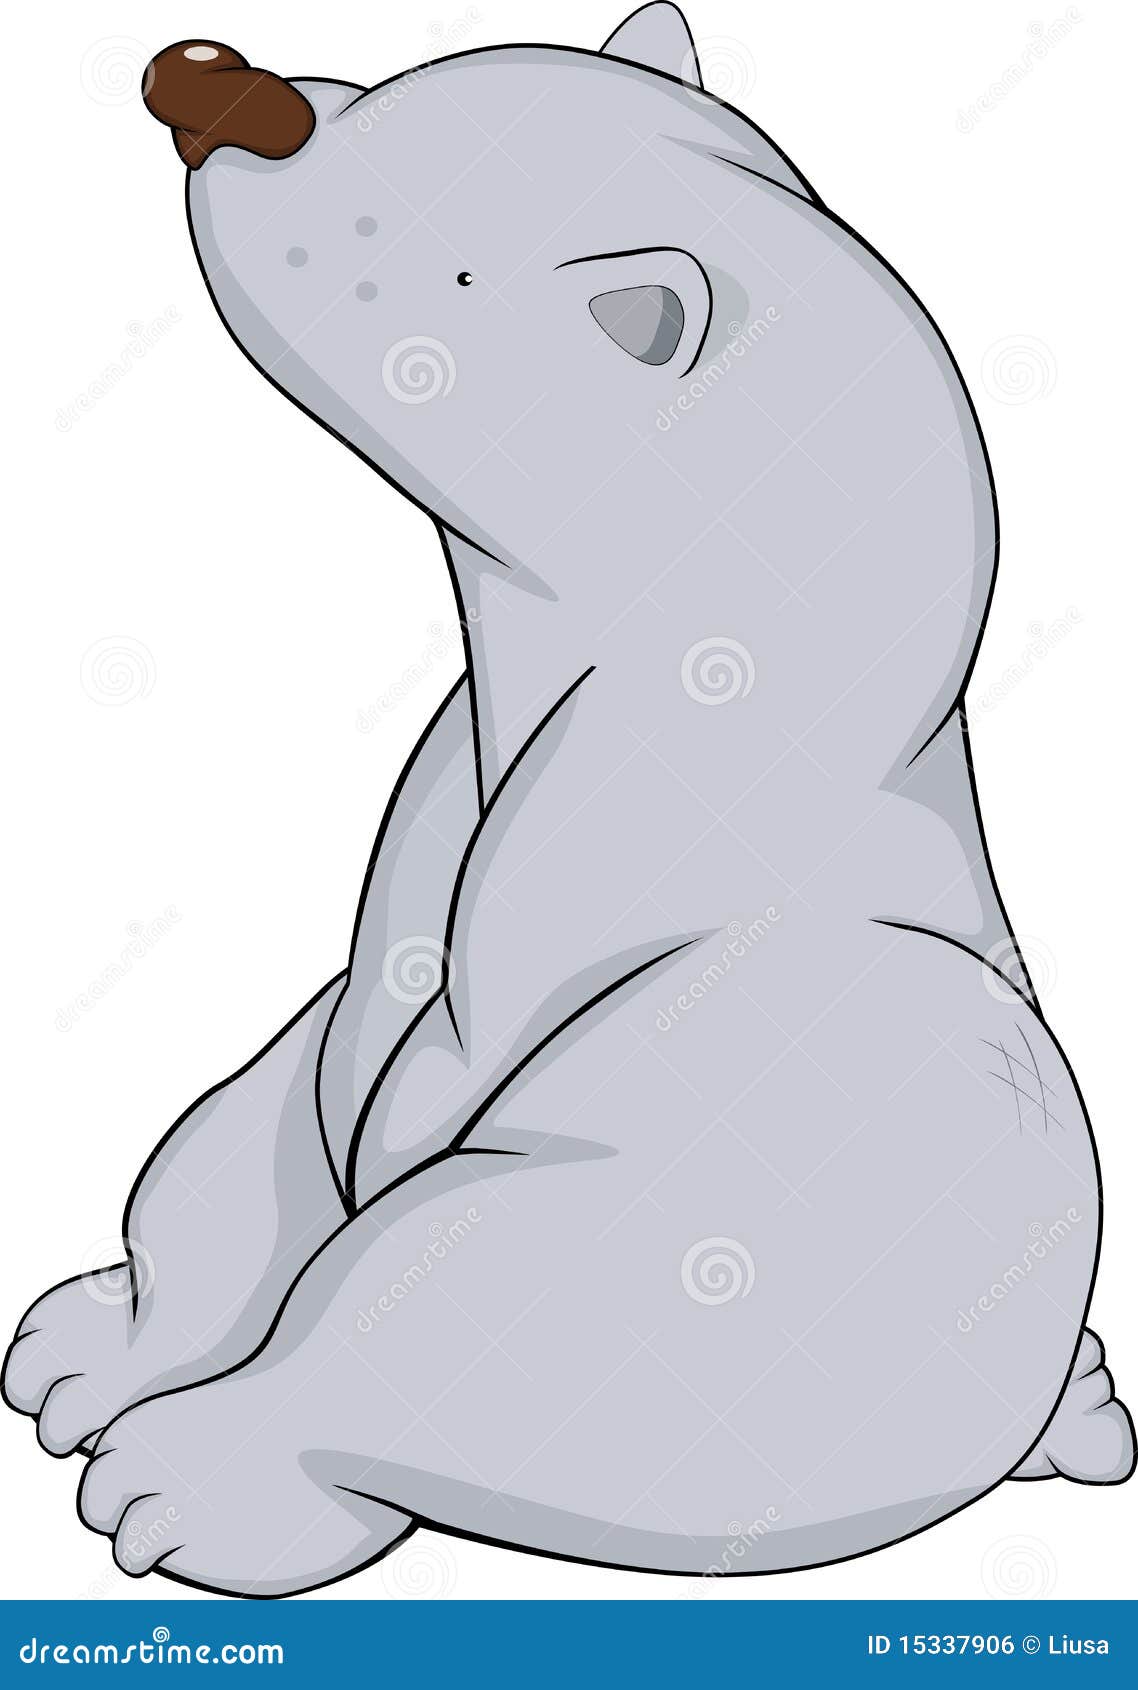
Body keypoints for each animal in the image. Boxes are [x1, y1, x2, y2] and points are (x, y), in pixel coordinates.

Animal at [3, 4, 1132, 1596]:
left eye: (441, 253)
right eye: (402, 82)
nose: (212, 88)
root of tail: (1021, 1409)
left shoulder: (639, 808)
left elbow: (467, 1071)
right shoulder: (438, 793)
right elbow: (354, 1018)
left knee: (449, 1283)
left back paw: (183, 1477)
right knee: (224, 1152)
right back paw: (89, 1347)